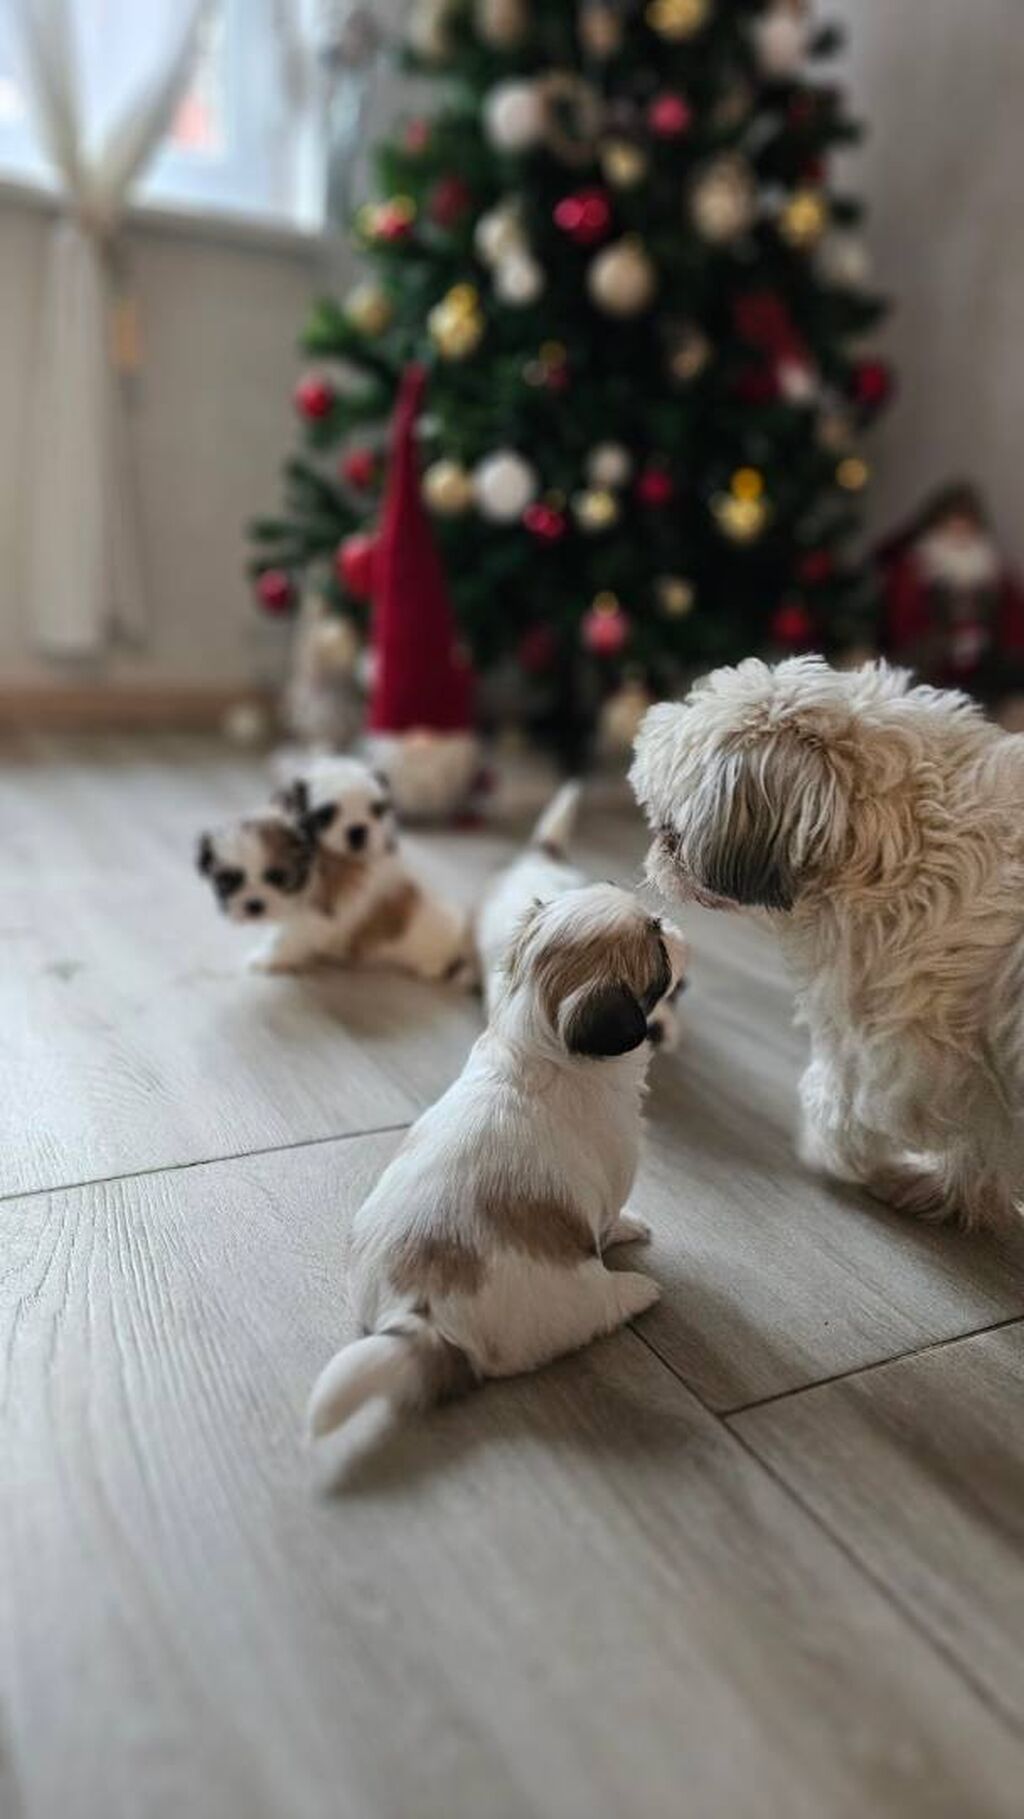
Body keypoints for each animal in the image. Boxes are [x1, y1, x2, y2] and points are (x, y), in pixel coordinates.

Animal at [198, 753, 476, 982]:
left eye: (377, 811)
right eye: (326, 814)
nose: (358, 830)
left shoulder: (320, 915)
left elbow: (289, 936)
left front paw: (267, 958)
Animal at [307, 880, 687, 1447]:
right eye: (658, 941)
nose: (677, 928)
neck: (536, 1041)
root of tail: (421, 1312)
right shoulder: (613, 1176)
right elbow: (609, 1218)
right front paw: (629, 1227)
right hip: (570, 1302)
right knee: (599, 1308)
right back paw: (637, 1291)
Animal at [632, 658, 1024, 1236]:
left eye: (670, 825)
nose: (656, 852)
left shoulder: (907, 1048)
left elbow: (847, 1101)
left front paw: (834, 1151)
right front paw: (948, 1192)